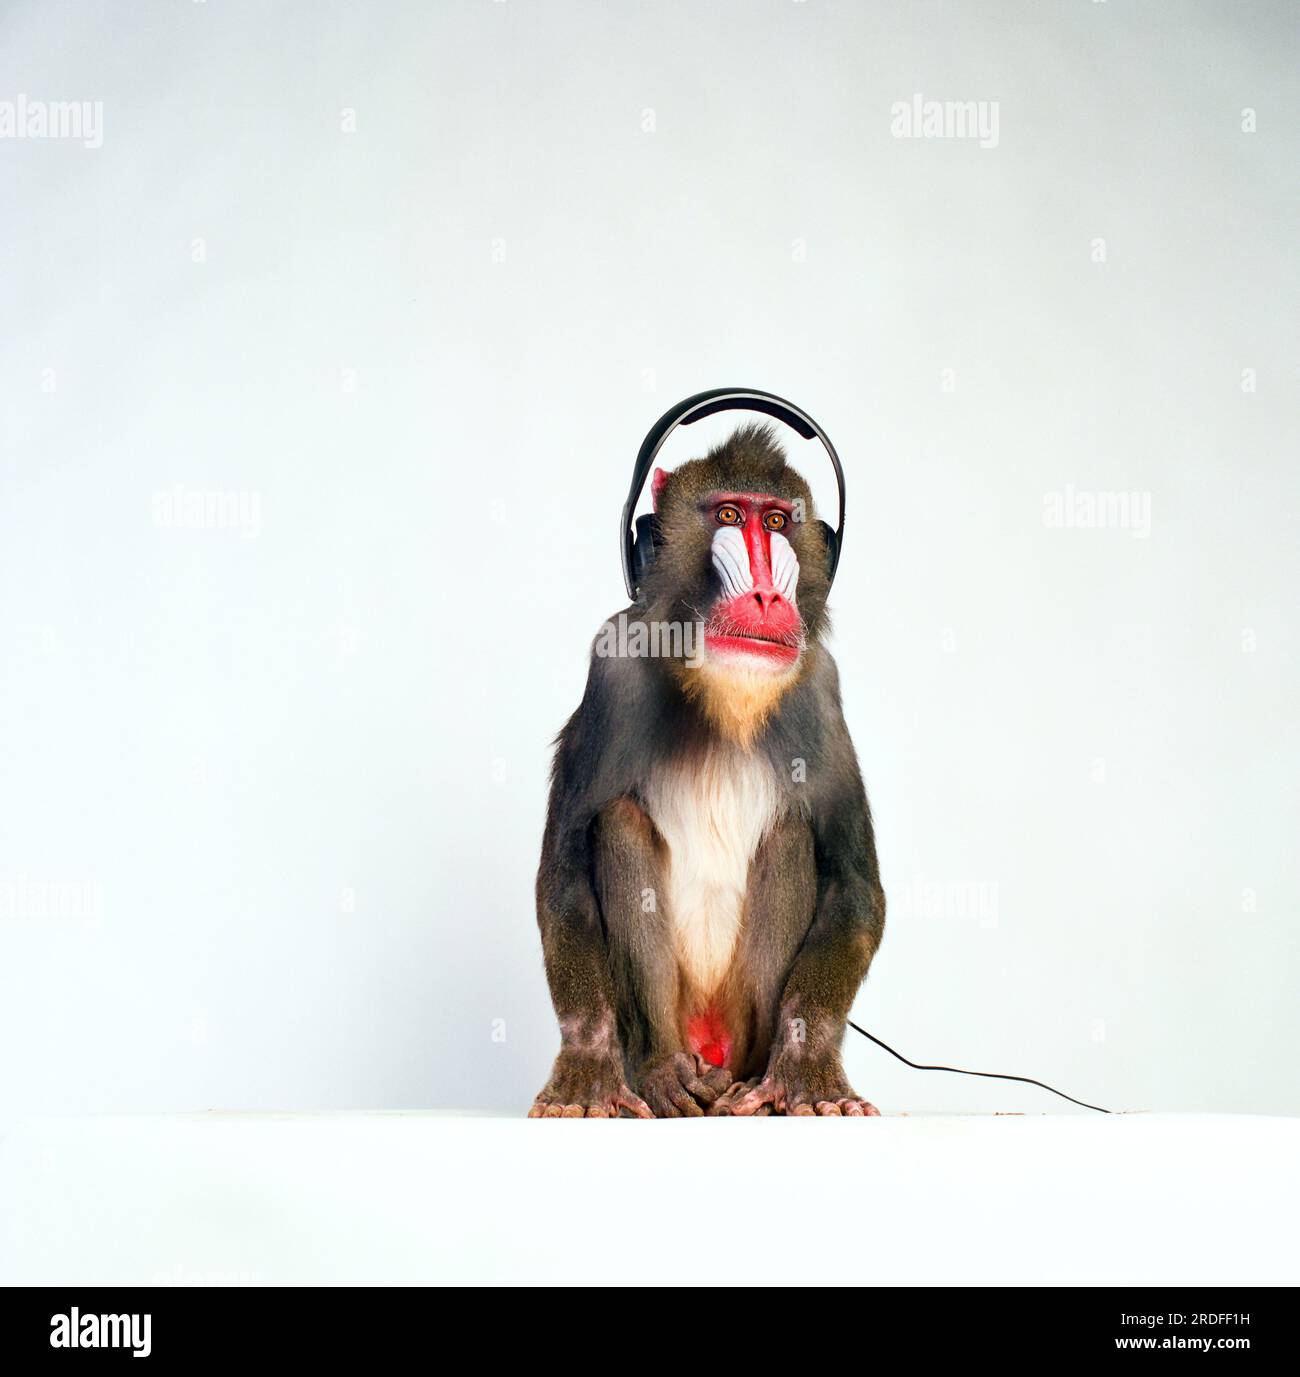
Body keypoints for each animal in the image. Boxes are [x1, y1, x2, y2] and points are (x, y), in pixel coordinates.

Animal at [529, 422, 885, 1118]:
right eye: (727, 516)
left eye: (775, 521)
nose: (768, 595)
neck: (723, 696)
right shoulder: (612, 668)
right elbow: (564, 876)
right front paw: (586, 1068)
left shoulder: (819, 689)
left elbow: (855, 889)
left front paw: (809, 1073)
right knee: (619, 822)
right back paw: (664, 1072)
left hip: (747, 1029)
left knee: (791, 834)